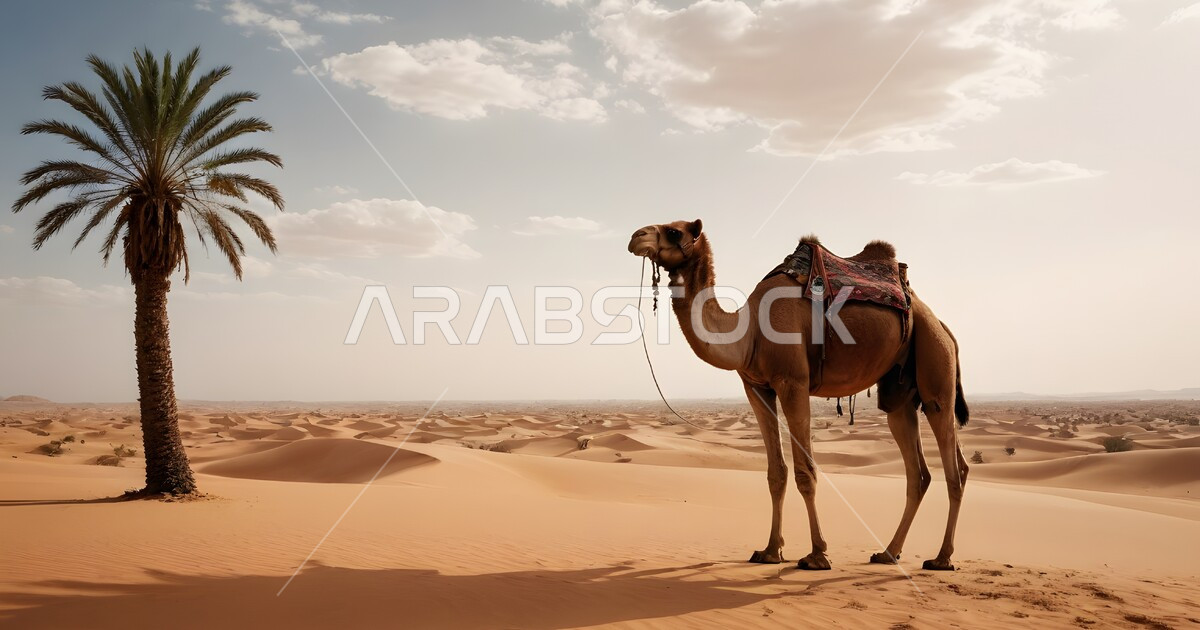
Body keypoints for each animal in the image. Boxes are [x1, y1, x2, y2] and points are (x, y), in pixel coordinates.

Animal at [627, 219, 969, 571]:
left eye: (674, 231)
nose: (636, 236)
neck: (749, 332)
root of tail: (944, 327)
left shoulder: (794, 382)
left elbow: (806, 472)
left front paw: (817, 554)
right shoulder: (757, 388)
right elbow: (776, 473)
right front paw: (769, 551)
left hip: (935, 358)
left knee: (953, 464)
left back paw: (942, 558)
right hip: (899, 392)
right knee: (918, 472)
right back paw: (888, 553)